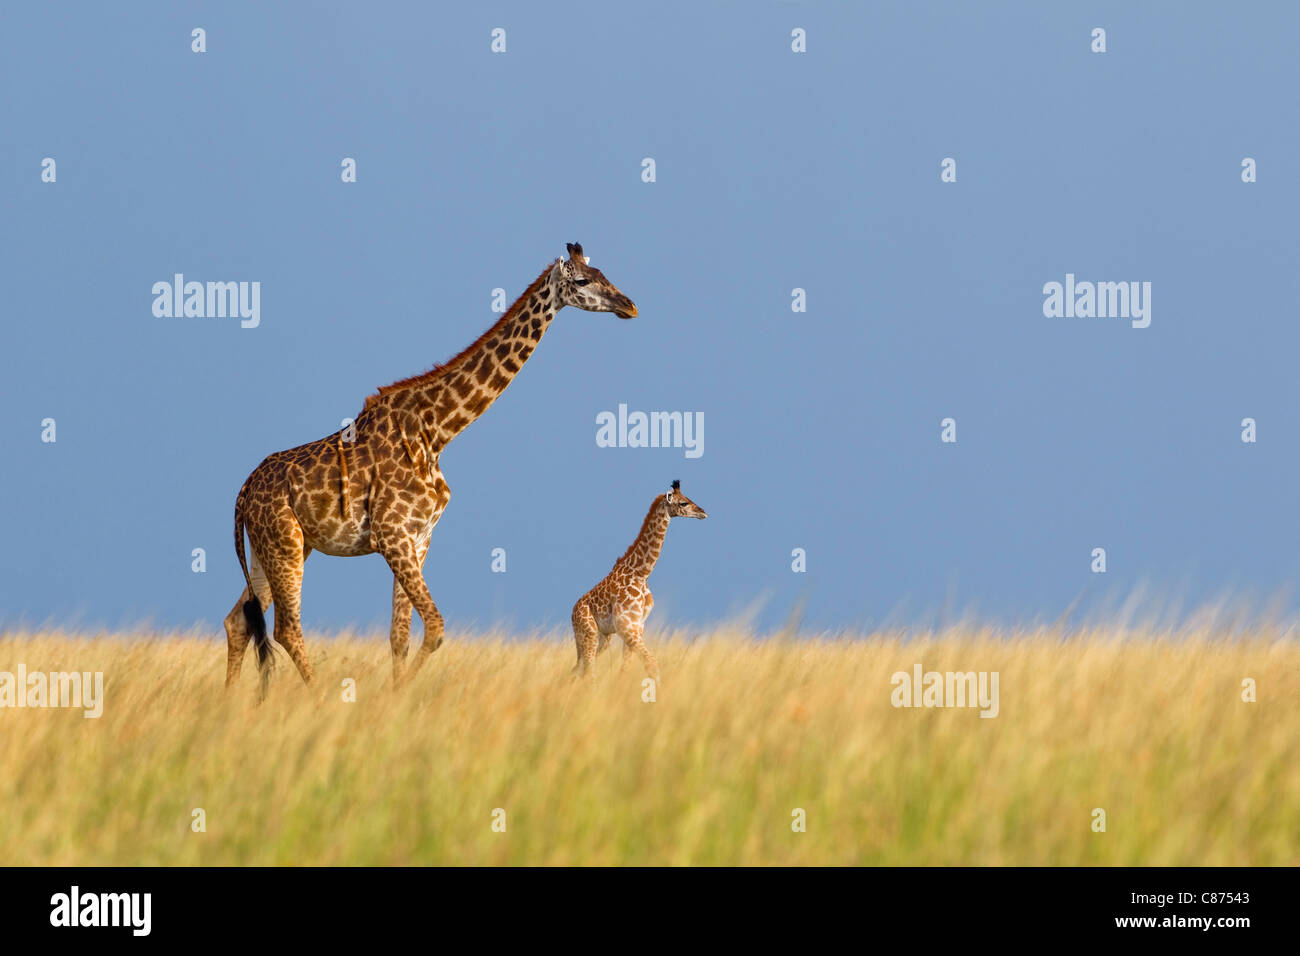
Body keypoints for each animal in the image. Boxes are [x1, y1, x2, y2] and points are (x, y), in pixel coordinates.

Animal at [224, 243, 637, 693]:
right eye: (582, 280)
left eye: (605, 272)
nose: (629, 306)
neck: (436, 431)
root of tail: (242, 494)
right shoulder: (392, 535)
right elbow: (436, 629)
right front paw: (398, 694)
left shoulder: (419, 537)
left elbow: (400, 636)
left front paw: (396, 695)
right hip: (284, 544)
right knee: (285, 627)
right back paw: (315, 698)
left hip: (278, 548)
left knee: (238, 620)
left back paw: (233, 704)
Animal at [571, 480, 708, 682]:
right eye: (683, 503)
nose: (703, 512)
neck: (641, 573)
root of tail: (572, 612)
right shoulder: (628, 627)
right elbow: (652, 665)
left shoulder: (637, 626)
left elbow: (625, 670)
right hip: (589, 633)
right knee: (588, 672)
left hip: (602, 637)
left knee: (577, 669)